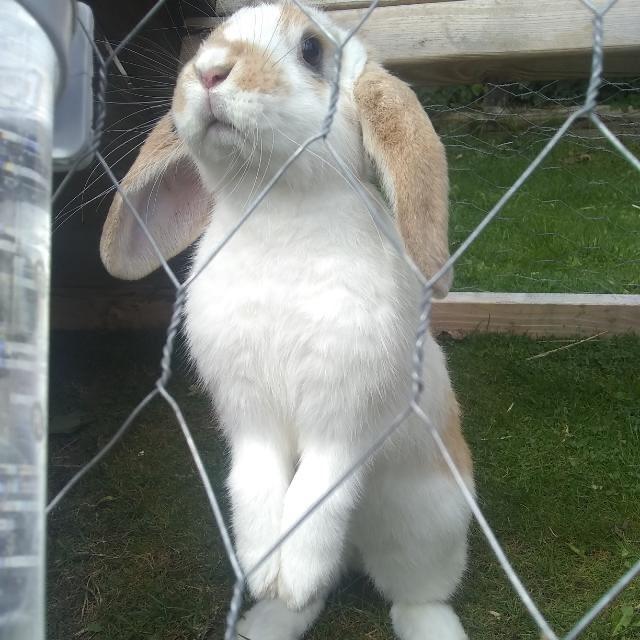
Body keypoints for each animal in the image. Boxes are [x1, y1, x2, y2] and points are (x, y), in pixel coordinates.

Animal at [99, 2, 474, 639]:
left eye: (311, 50)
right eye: (211, 35)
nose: (210, 71)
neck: (274, 202)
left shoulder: (343, 414)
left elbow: (319, 487)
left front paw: (291, 569)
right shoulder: (247, 411)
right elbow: (254, 484)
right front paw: (261, 568)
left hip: (431, 521)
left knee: (415, 592)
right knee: (319, 596)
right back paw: (270, 614)